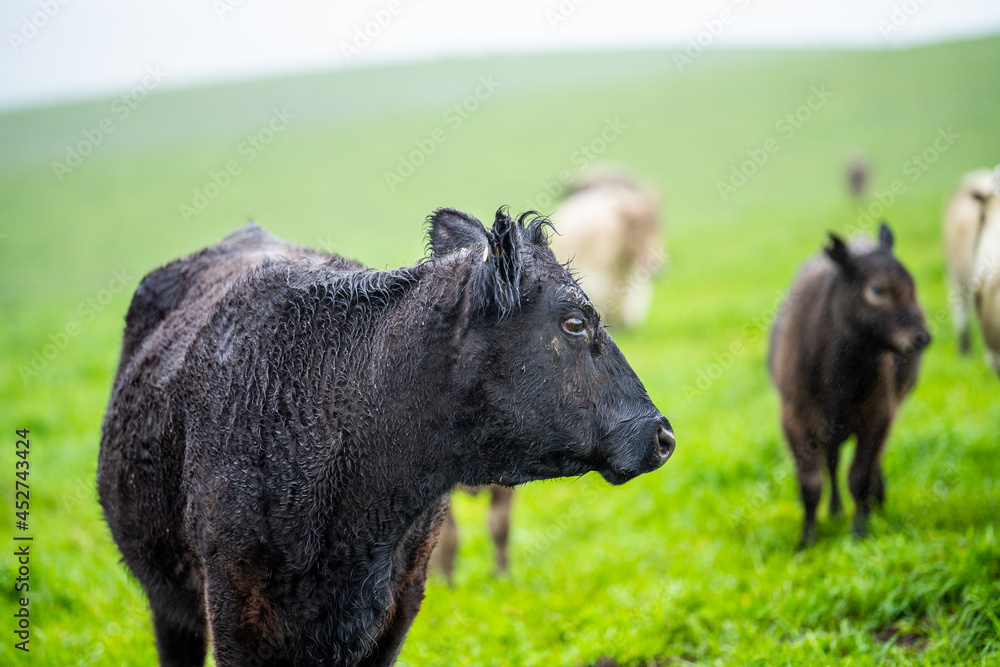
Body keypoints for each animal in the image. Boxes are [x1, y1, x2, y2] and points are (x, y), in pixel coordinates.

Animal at [769, 223, 930, 547]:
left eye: (911, 284)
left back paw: (875, 500)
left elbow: (860, 475)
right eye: (878, 289)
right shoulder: (794, 422)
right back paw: (835, 510)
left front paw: (860, 530)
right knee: (831, 463)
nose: (922, 336)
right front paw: (807, 539)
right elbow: (810, 485)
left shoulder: (878, 415)